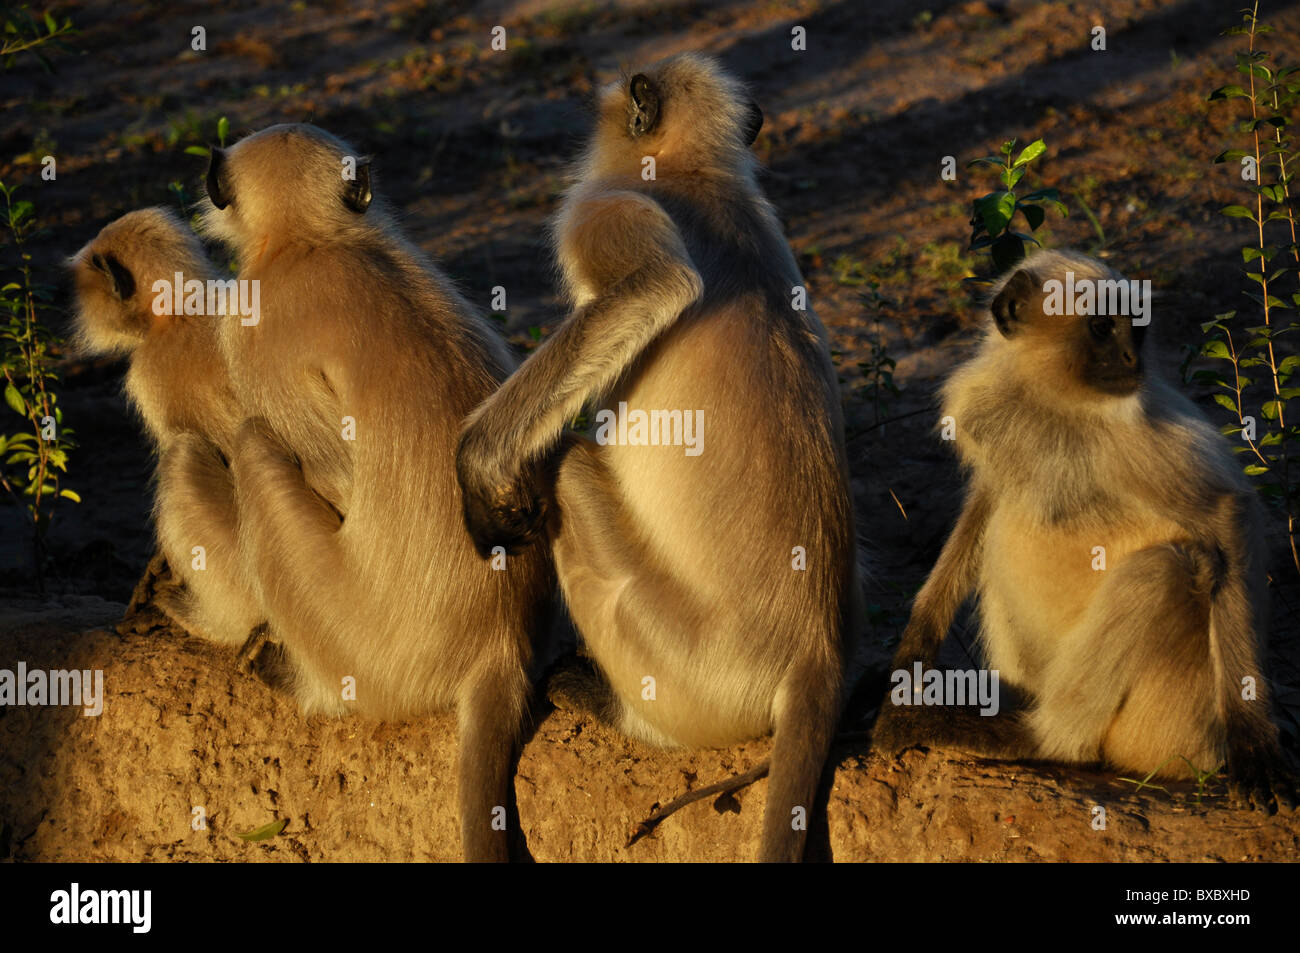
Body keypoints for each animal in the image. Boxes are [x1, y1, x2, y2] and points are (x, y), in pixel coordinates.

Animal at [199, 123, 553, 862]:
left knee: (254, 443)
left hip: (352, 633)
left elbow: (331, 472)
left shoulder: (248, 326)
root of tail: (501, 642)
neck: (313, 239)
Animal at [454, 53, 862, 862]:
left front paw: (479, 464)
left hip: (672, 652)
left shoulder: (605, 209)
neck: (696, 171)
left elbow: (660, 287)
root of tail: (819, 655)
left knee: (564, 468)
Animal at [874, 248, 1295, 813]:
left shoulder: (1133, 438)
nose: (1133, 360)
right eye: (1101, 327)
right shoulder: (991, 415)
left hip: (1172, 717)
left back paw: (1040, 740)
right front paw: (909, 664)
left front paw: (1252, 735)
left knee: (1168, 567)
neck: (1050, 405)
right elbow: (986, 502)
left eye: (1136, 328)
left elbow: (1230, 515)